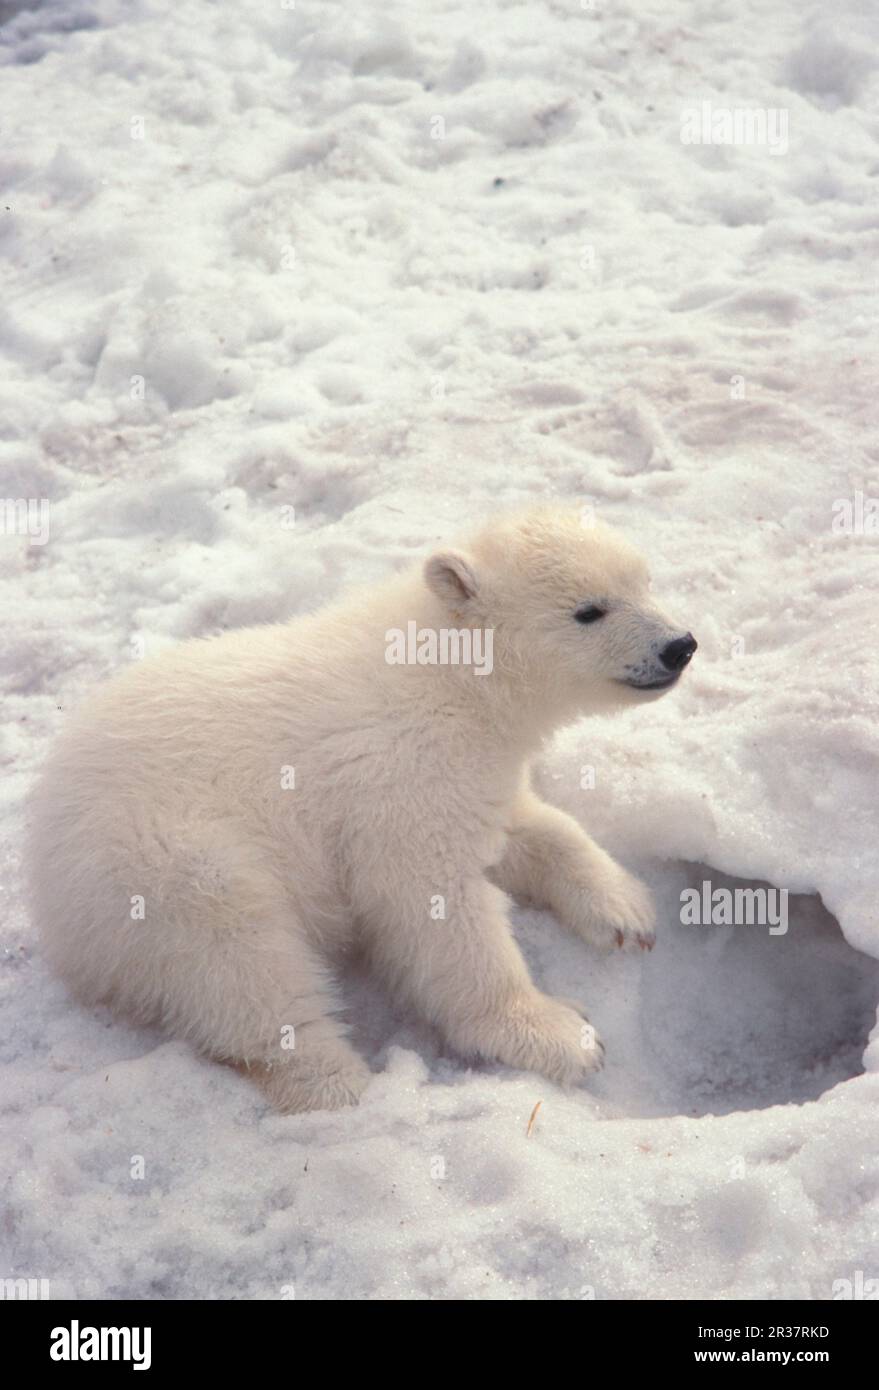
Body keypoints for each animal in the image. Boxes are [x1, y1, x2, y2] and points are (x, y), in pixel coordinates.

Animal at [26, 505, 696, 1113]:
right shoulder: (398, 777)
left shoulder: (472, 768)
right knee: (243, 960)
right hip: (164, 864)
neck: (452, 676)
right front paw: (561, 1035)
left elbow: (528, 826)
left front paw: (625, 908)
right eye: (588, 610)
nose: (680, 645)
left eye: (643, 580)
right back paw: (333, 1079)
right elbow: (435, 905)